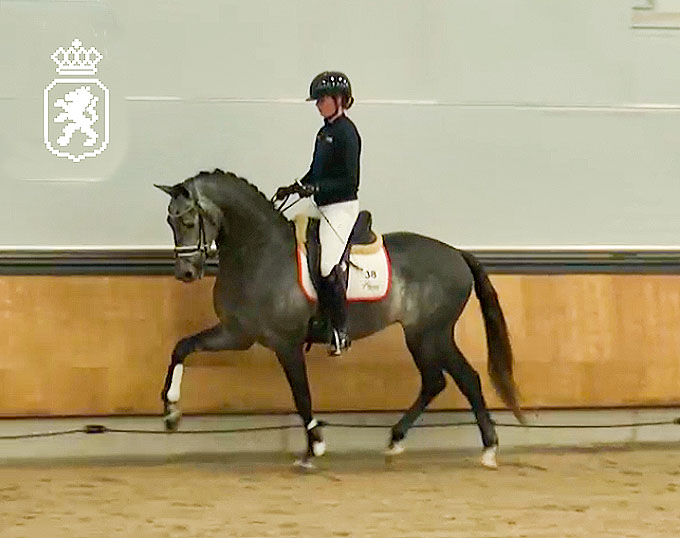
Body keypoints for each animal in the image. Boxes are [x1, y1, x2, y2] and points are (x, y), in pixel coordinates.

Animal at [155, 169, 523, 469]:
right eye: (170, 222)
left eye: (188, 221)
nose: (186, 273)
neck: (259, 252)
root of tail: (457, 254)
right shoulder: (237, 333)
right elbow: (182, 347)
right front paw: (171, 411)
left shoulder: (286, 343)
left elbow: (301, 395)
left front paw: (313, 448)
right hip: (425, 336)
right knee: (441, 381)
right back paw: (401, 440)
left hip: (430, 333)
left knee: (462, 379)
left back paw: (488, 449)